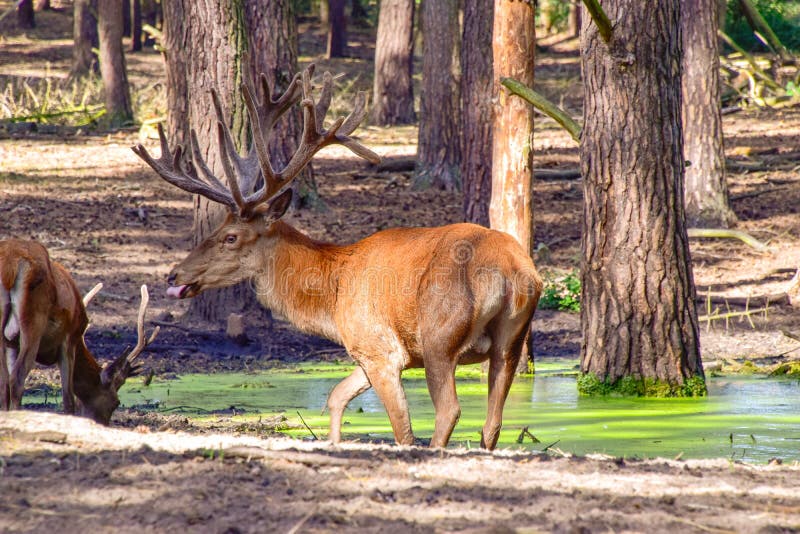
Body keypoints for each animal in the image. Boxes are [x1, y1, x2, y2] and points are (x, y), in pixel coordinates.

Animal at [0, 239, 159, 424]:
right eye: (116, 403)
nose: (103, 425)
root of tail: (11, 265)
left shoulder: (13, 344)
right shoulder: (69, 338)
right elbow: (68, 398)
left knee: (4, 383)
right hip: (33, 321)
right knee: (16, 379)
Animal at [131, 62, 542, 450]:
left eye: (230, 237)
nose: (174, 274)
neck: (333, 294)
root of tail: (512, 272)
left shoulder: (380, 348)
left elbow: (402, 430)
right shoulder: (370, 352)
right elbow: (335, 397)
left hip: (440, 335)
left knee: (449, 411)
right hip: (511, 340)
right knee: (492, 421)